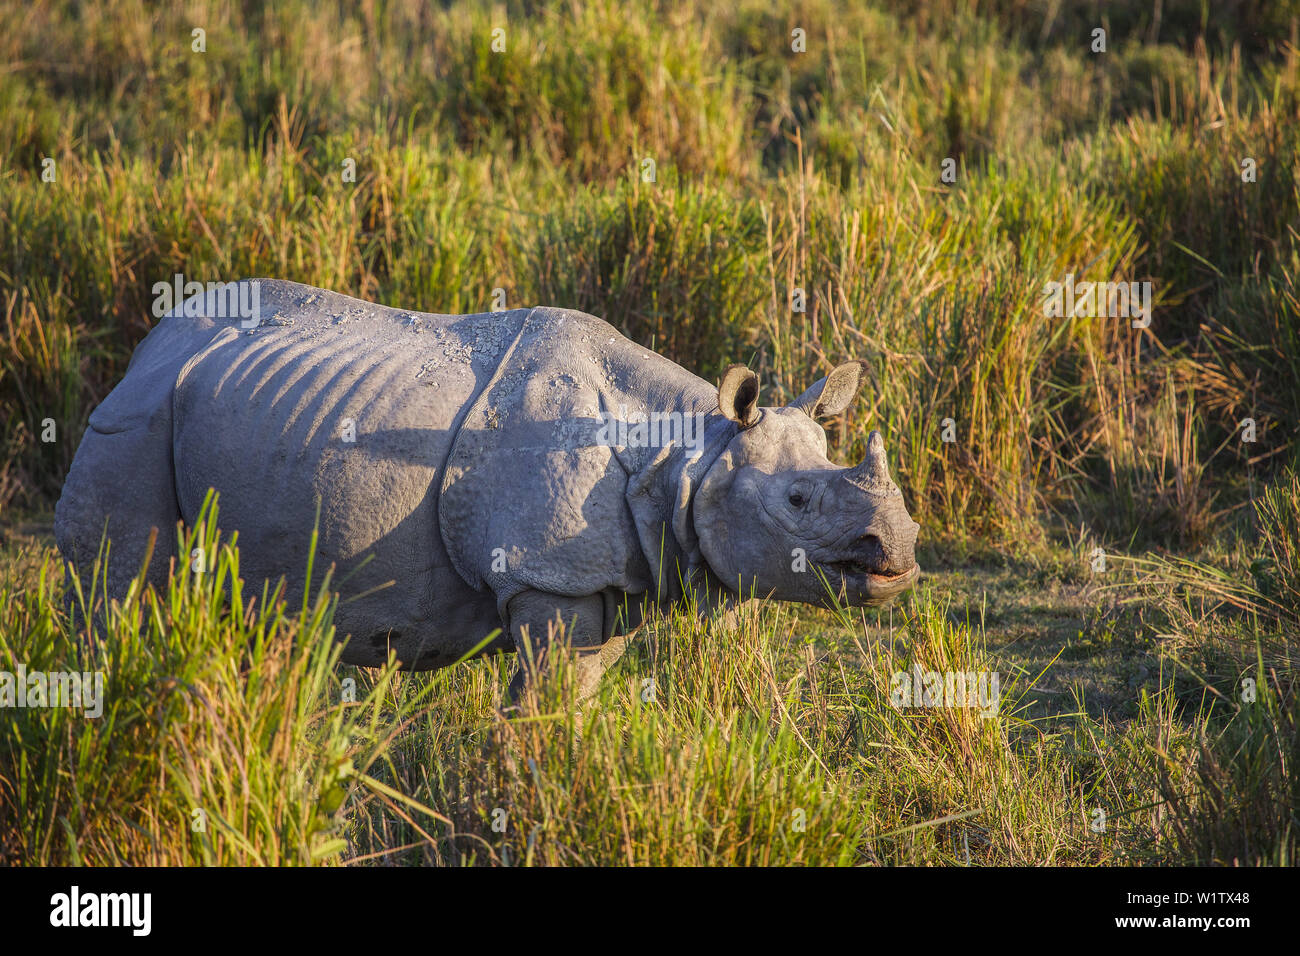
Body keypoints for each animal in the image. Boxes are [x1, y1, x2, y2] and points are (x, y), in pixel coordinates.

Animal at [55, 279, 920, 698]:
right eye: (798, 502)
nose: (902, 552)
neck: (687, 452)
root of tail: (150, 344)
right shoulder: (547, 574)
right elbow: (541, 706)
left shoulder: (607, 580)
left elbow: (570, 699)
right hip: (138, 419)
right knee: (119, 591)